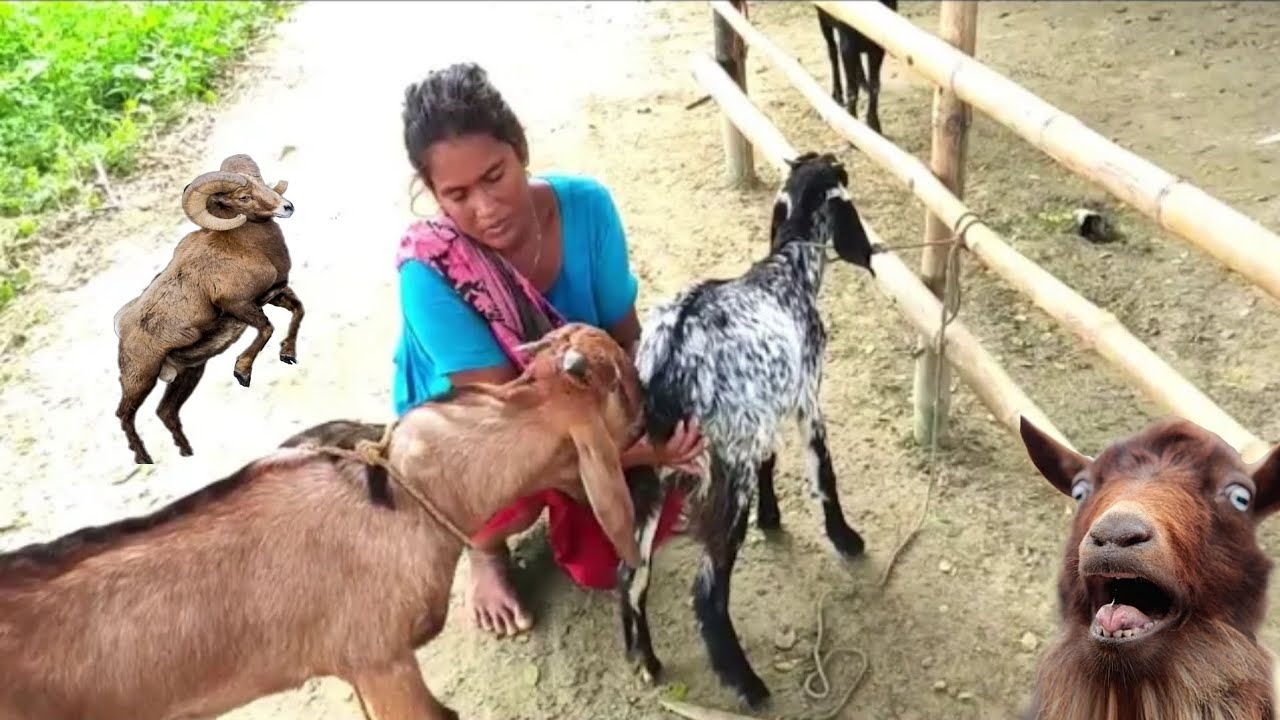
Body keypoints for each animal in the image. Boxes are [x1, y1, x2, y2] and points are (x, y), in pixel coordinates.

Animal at [112, 153, 304, 464]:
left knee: (165, 412)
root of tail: (121, 327)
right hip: (141, 378)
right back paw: (144, 460)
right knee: (124, 415)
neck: (249, 248)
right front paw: (242, 373)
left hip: (189, 374)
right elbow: (266, 328)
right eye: (244, 196)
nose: (287, 207)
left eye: (263, 184)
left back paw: (186, 452)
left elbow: (298, 311)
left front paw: (288, 354)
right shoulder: (239, 305)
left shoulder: (274, 295)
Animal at [620, 151, 877, 709]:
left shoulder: (763, 410)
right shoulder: (806, 397)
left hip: (649, 479)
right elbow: (823, 472)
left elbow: (770, 459)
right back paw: (747, 683)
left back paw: (645, 659)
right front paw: (845, 538)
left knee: (631, 570)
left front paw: (773, 517)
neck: (786, 272)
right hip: (722, 478)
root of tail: (667, 366)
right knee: (708, 592)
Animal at [816, 1, 897, 135]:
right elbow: (852, 90)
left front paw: (874, 126)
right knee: (832, 51)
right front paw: (852, 123)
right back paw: (837, 95)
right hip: (824, 20)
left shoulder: (878, 47)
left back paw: (863, 84)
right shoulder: (846, 45)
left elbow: (875, 86)